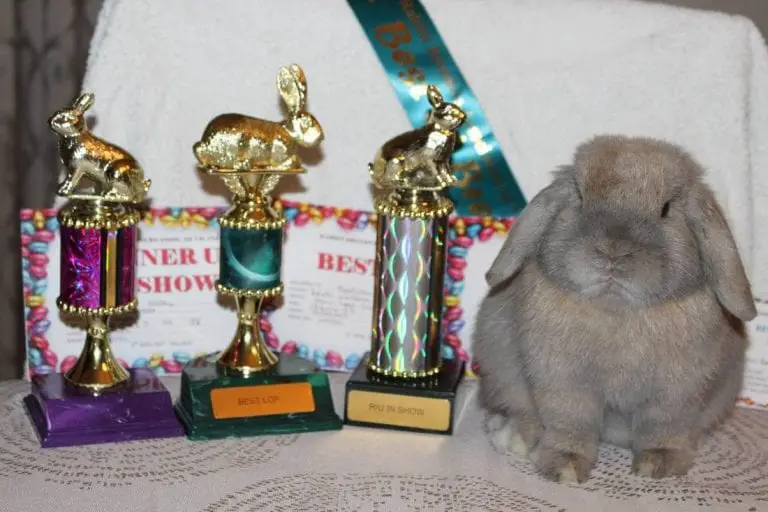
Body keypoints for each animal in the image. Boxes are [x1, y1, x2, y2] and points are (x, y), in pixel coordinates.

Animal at [472, 135, 756, 484]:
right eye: (580, 197)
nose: (612, 253)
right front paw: (564, 468)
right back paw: (515, 438)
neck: (618, 311)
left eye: (666, 209)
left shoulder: (676, 393)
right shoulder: (563, 384)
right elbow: (570, 424)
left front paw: (659, 465)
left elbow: (662, 427)